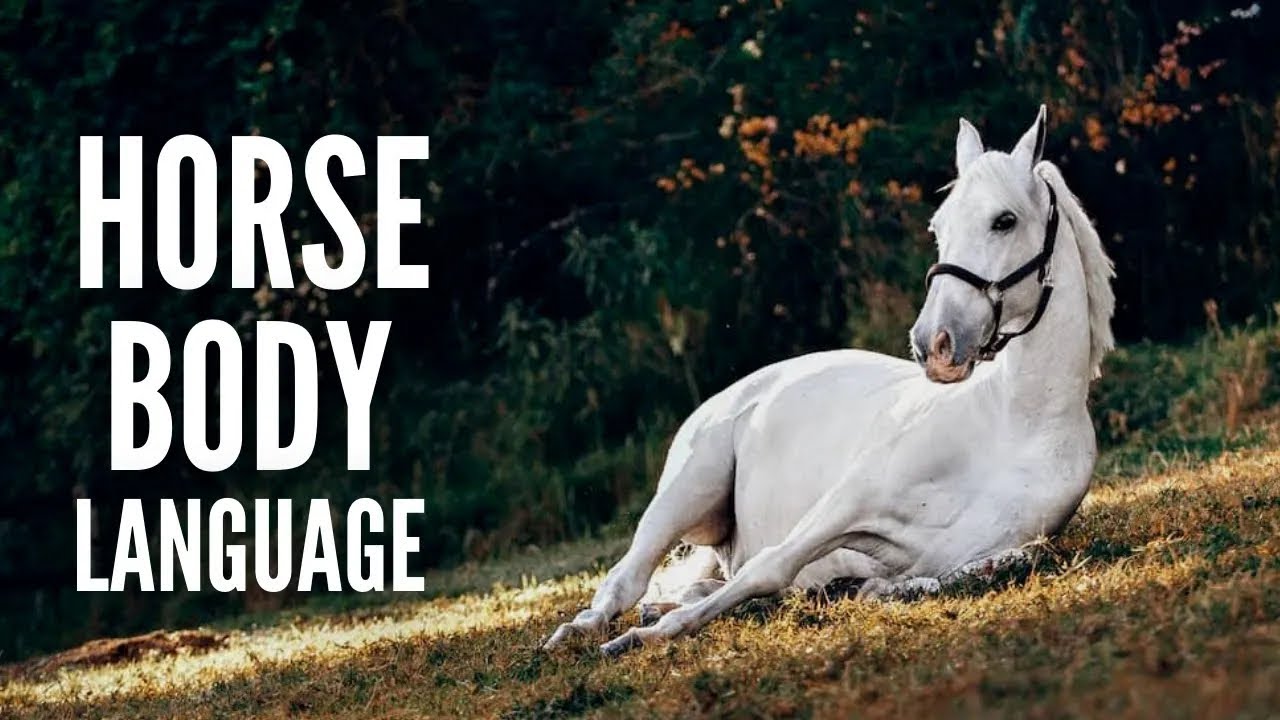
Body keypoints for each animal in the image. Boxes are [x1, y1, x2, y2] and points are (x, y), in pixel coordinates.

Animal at [543, 105, 1116, 657]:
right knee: (626, 580)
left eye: (1004, 220)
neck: (1015, 424)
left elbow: (971, 570)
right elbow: (770, 565)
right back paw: (581, 631)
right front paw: (644, 640)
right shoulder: (847, 503)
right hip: (685, 492)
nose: (934, 343)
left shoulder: (978, 552)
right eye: (938, 227)